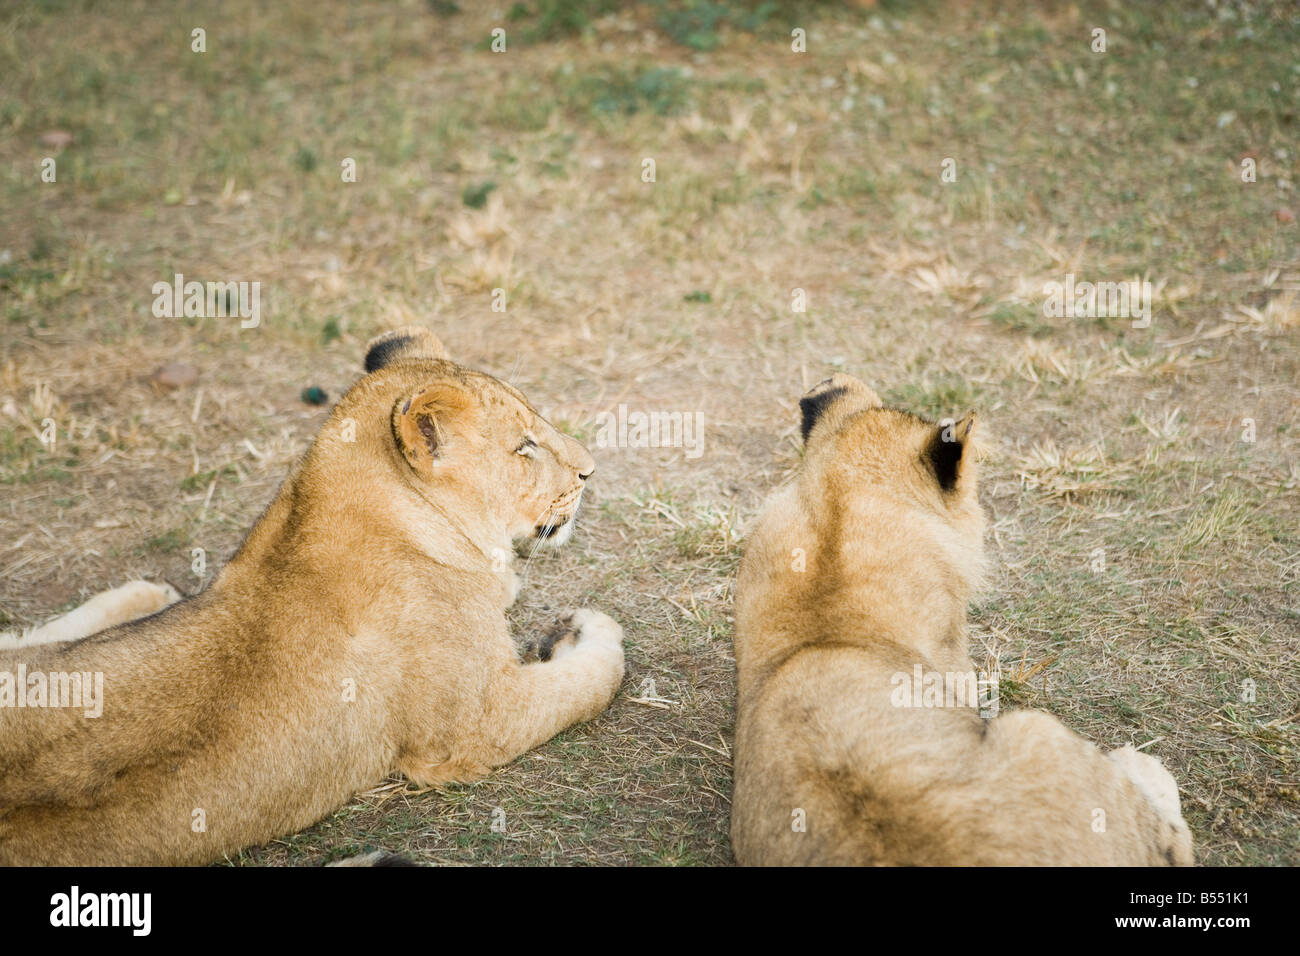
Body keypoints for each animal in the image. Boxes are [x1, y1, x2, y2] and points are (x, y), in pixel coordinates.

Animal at [0, 327, 625, 865]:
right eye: (524, 447)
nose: (592, 471)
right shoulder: (471, 726)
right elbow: (590, 682)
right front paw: (591, 631)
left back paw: (147, 595)